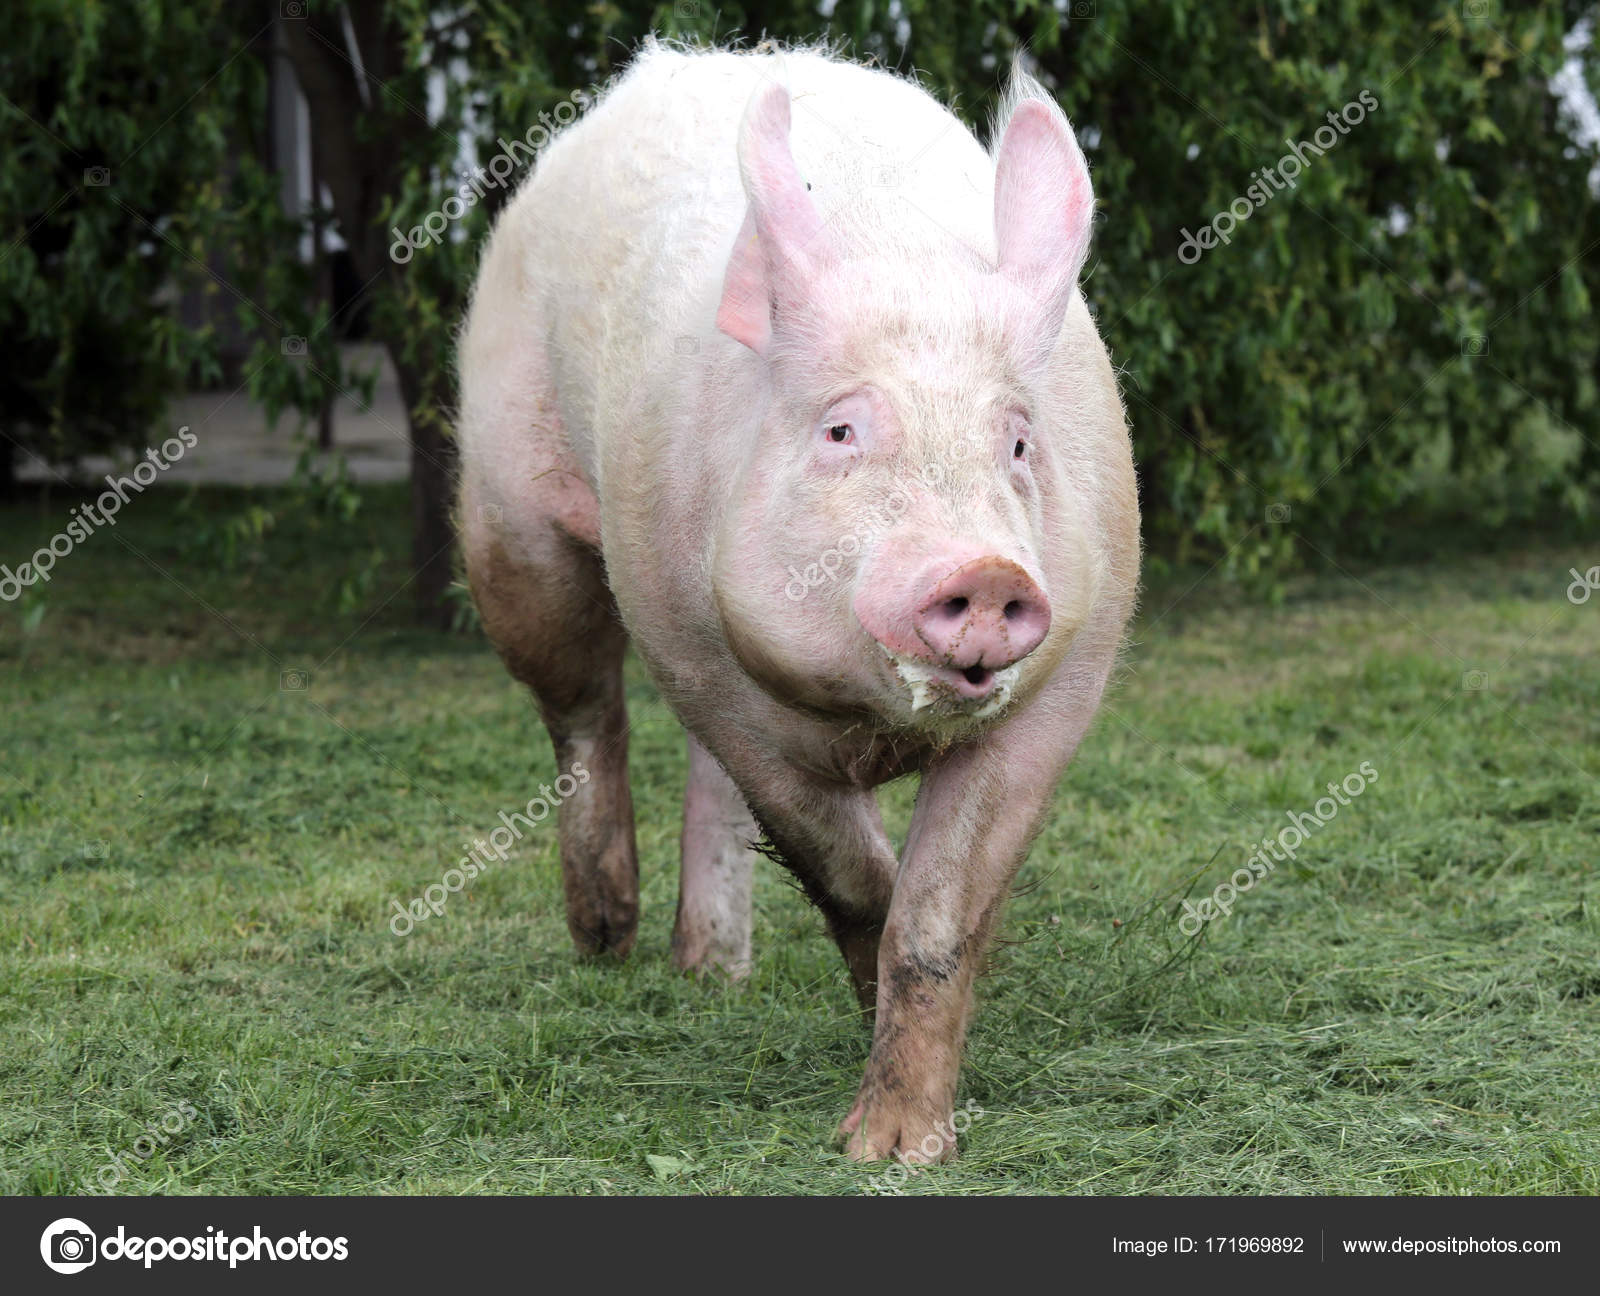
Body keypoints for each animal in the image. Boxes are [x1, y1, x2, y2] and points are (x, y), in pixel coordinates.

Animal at [456, 41, 1140, 1163]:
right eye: (841, 431)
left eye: (1018, 441)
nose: (988, 573)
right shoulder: (709, 664)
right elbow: (851, 882)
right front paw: (870, 1133)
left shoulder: (1066, 681)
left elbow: (934, 921)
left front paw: (905, 1148)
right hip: (510, 507)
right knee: (583, 705)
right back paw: (606, 942)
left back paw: (709, 973)